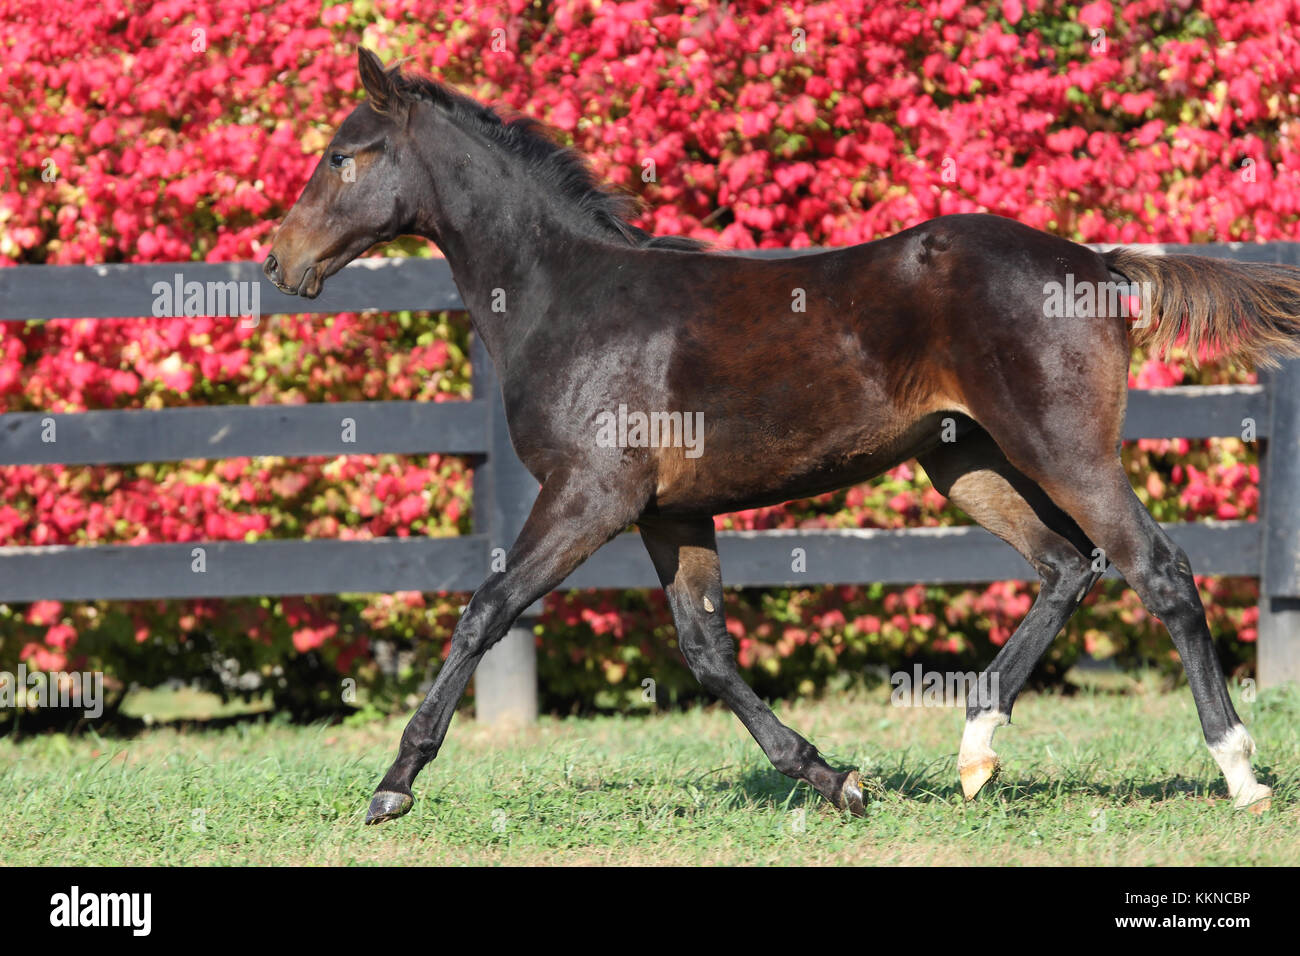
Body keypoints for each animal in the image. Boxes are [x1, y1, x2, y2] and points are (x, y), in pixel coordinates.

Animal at [265, 47, 1297, 824]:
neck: (570, 299)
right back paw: (975, 752)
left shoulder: (589, 497)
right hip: (965, 459)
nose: (279, 262)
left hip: (1062, 448)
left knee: (1155, 568)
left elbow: (485, 611)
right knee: (1064, 566)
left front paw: (393, 785)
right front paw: (836, 780)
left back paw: (1239, 772)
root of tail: (1096, 261)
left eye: (345, 156)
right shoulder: (670, 515)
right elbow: (708, 653)